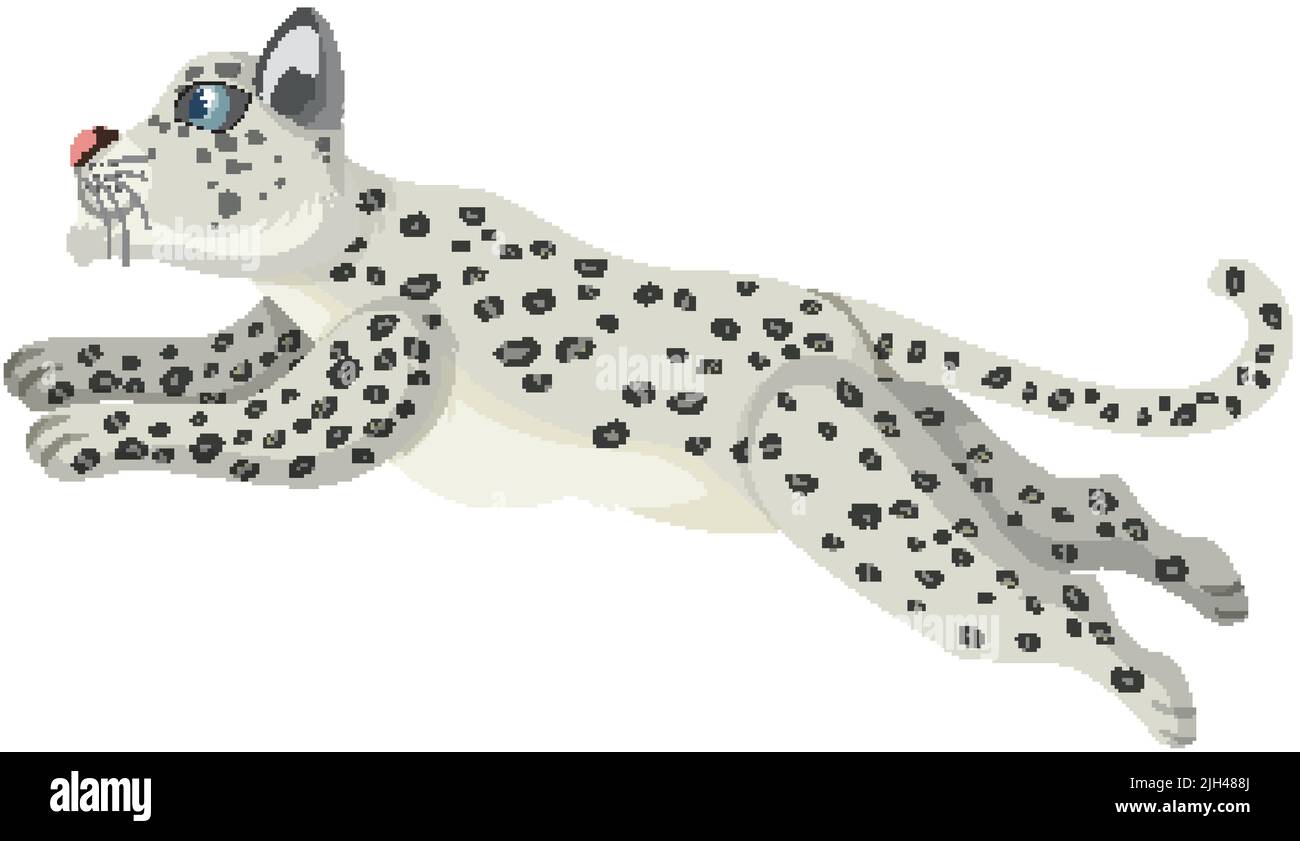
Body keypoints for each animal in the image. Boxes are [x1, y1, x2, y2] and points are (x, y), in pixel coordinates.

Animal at [5, 8, 1291, 746]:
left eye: (200, 103)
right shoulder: (271, 332)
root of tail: (844, 314)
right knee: (1085, 504)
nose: (79, 143)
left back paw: (1160, 695)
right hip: (945, 459)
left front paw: (85, 429)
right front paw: (53, 362)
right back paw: (1217, 579)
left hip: (865, 511)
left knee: (1041, 594)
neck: (319, 265)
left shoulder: (355, 386)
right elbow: (185, 358)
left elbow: (221, 425)